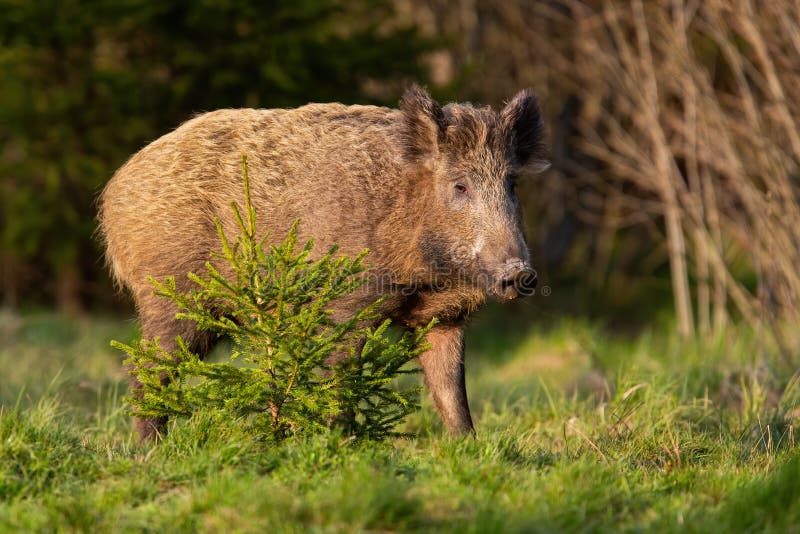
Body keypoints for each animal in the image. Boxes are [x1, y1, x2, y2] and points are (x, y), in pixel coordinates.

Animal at [98, 85, 547, 441]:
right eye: (460, 185)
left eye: (511, 183)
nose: (519, 273)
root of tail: (116, 188)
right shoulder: (347, 306)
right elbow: (342, 381)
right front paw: (340, 442)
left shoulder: (443, 316)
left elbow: (451, 391)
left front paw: (468, 448)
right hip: (171, 295)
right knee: (145, 369)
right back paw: (151, 450)